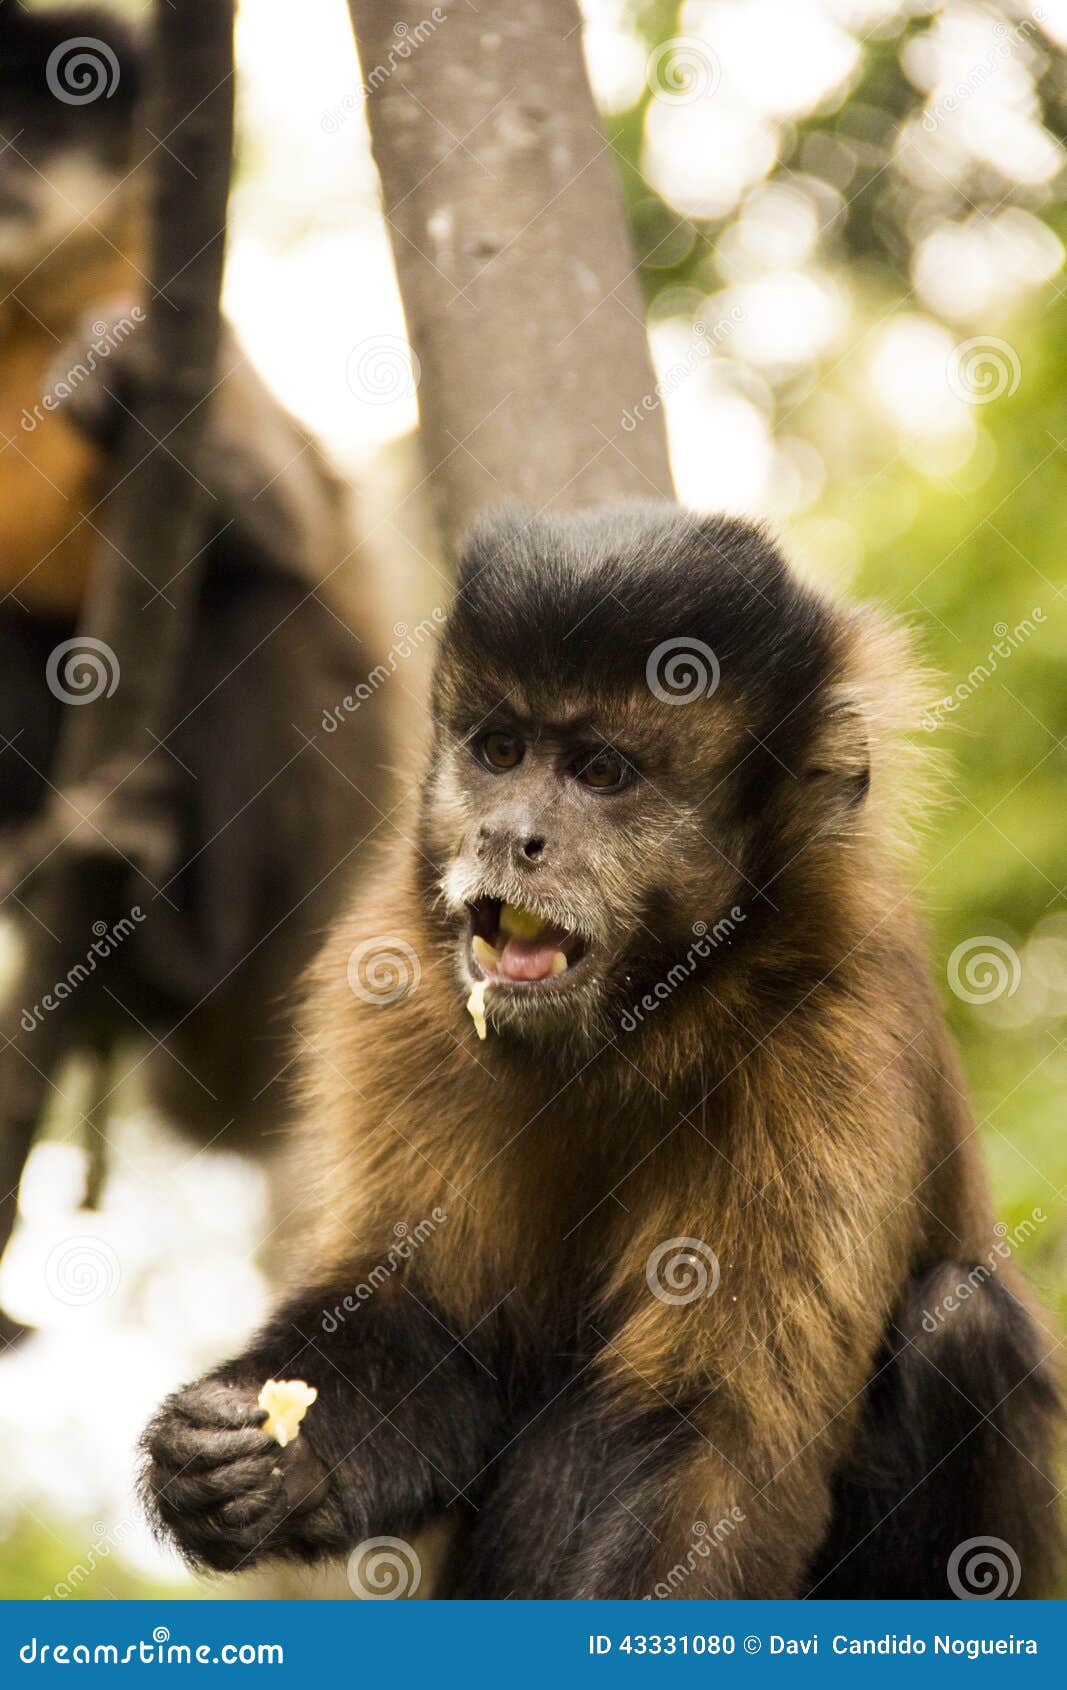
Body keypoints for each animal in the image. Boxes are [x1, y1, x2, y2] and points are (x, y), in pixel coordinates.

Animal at [0, 3, 388, 1284]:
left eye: (44, 126)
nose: (12, 168)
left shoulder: (195, 327)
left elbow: (295, 530)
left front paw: (113, 388)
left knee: (254, 609)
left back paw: (175, 946)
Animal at [140, 503, 1062, 1598]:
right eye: (500, 750)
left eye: (600, 774)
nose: (511, 835)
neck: (639, 1024)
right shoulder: (396, 992)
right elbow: (436, 1332)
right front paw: (261, 1464)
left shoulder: (836, 1034)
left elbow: (707, 1445)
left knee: (951, 1323)